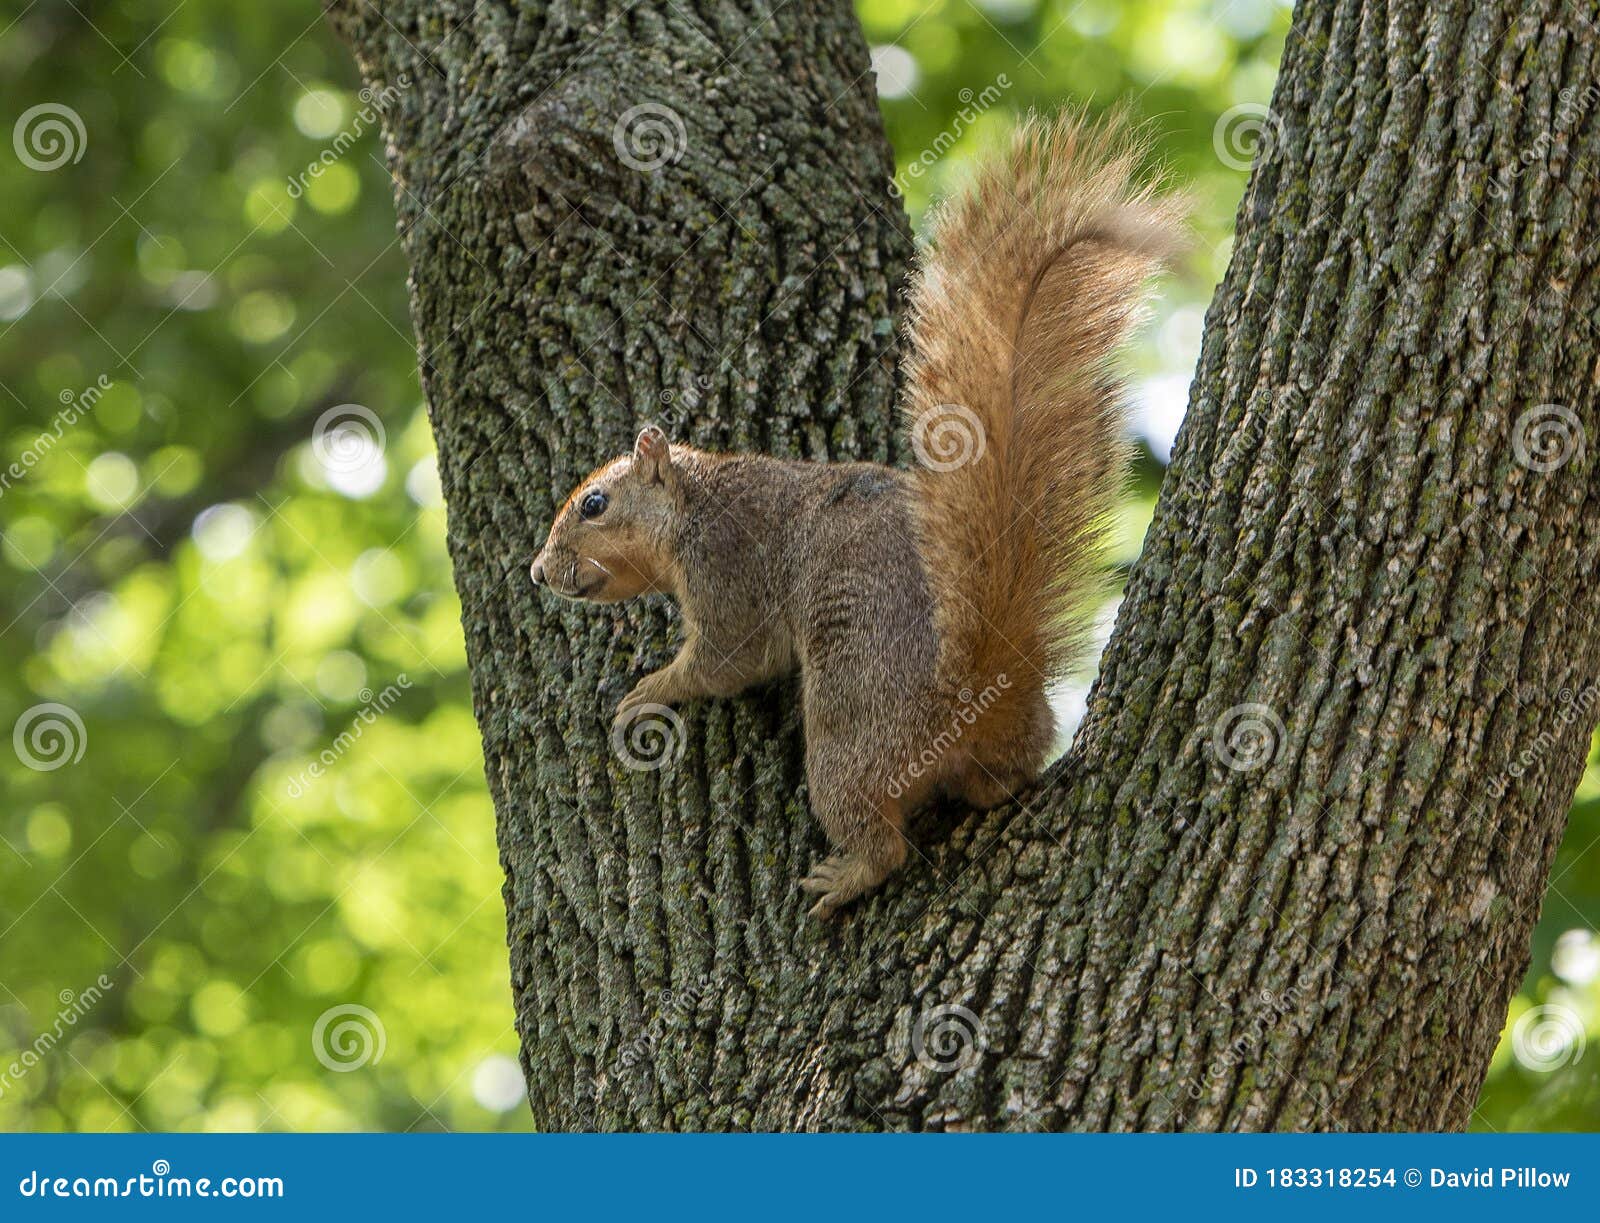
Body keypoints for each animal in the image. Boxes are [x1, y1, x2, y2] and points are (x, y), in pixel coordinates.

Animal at [529, 113, 1186, 919]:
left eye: (594, 503)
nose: (539, 571)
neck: (696, 500)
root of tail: (976, 688)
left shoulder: (730, 567)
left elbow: (725, 662)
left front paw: (650, 689)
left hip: (849, 725)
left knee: (880, 833)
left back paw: (845, 875)